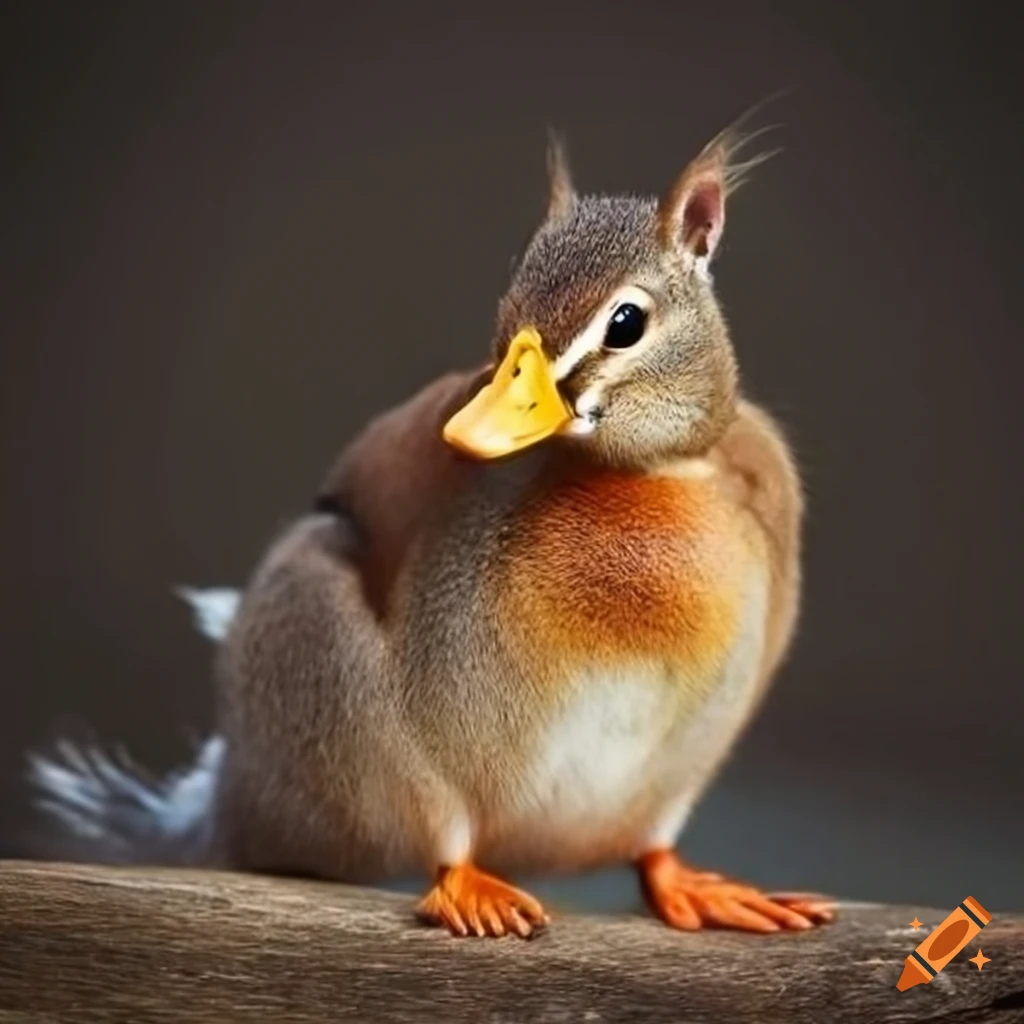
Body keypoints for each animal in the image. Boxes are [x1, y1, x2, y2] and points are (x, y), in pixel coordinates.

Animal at [31, 123, 834, 938]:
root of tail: (225, 802)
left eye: (626, 322)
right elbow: (444, 829)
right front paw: (468, 894)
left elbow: (656, 848)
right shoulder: (415, 762)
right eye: (512, 302)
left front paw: (706, 890)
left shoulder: (681, 771)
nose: (471, 428)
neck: (646, 488)